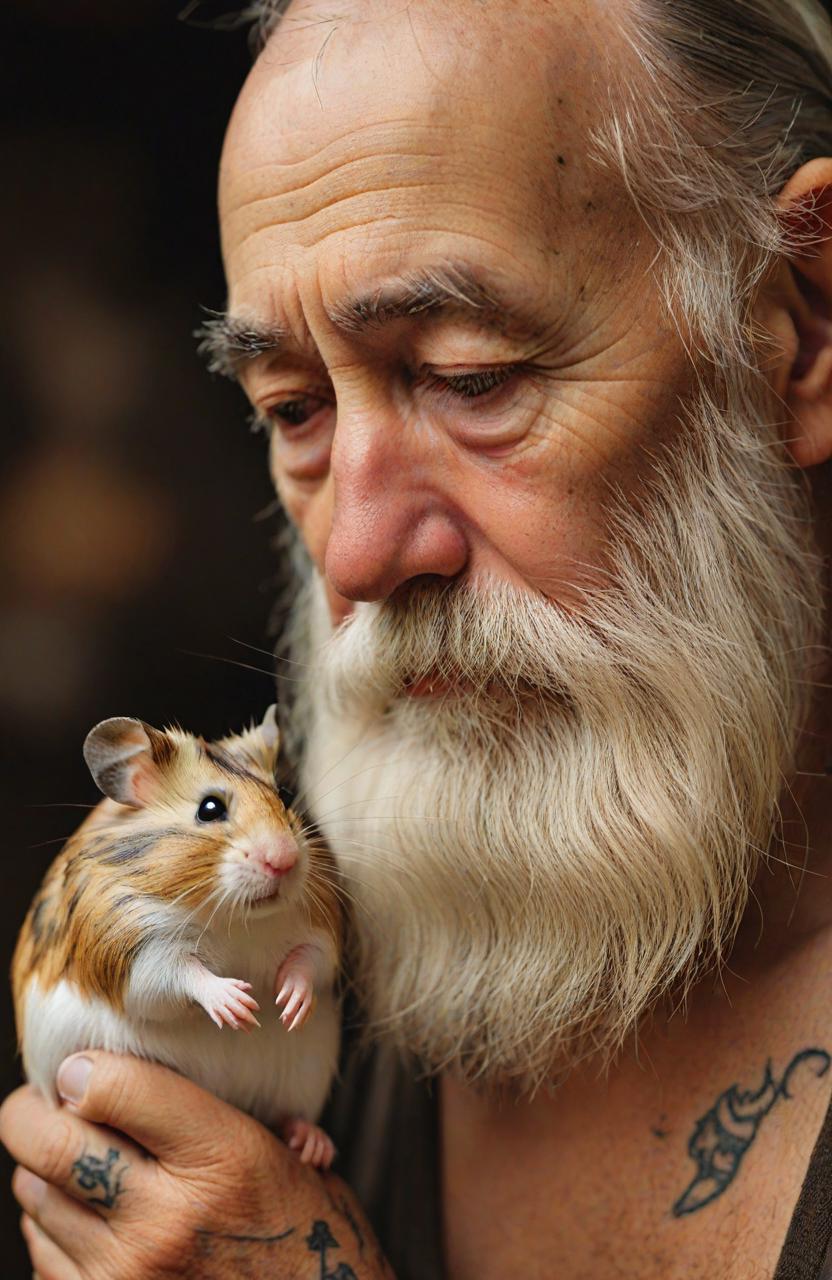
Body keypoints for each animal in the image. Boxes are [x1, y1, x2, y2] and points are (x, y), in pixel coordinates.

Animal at [12, 706, 342, 1167]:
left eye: (285, 794)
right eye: (209, 808)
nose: (285, 861)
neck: (238, 920)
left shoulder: (321, 925)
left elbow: (311, 960)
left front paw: (291, 1003)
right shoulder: (134, 948)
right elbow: (178, 975)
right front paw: (238, 1006)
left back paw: (314, 1145)